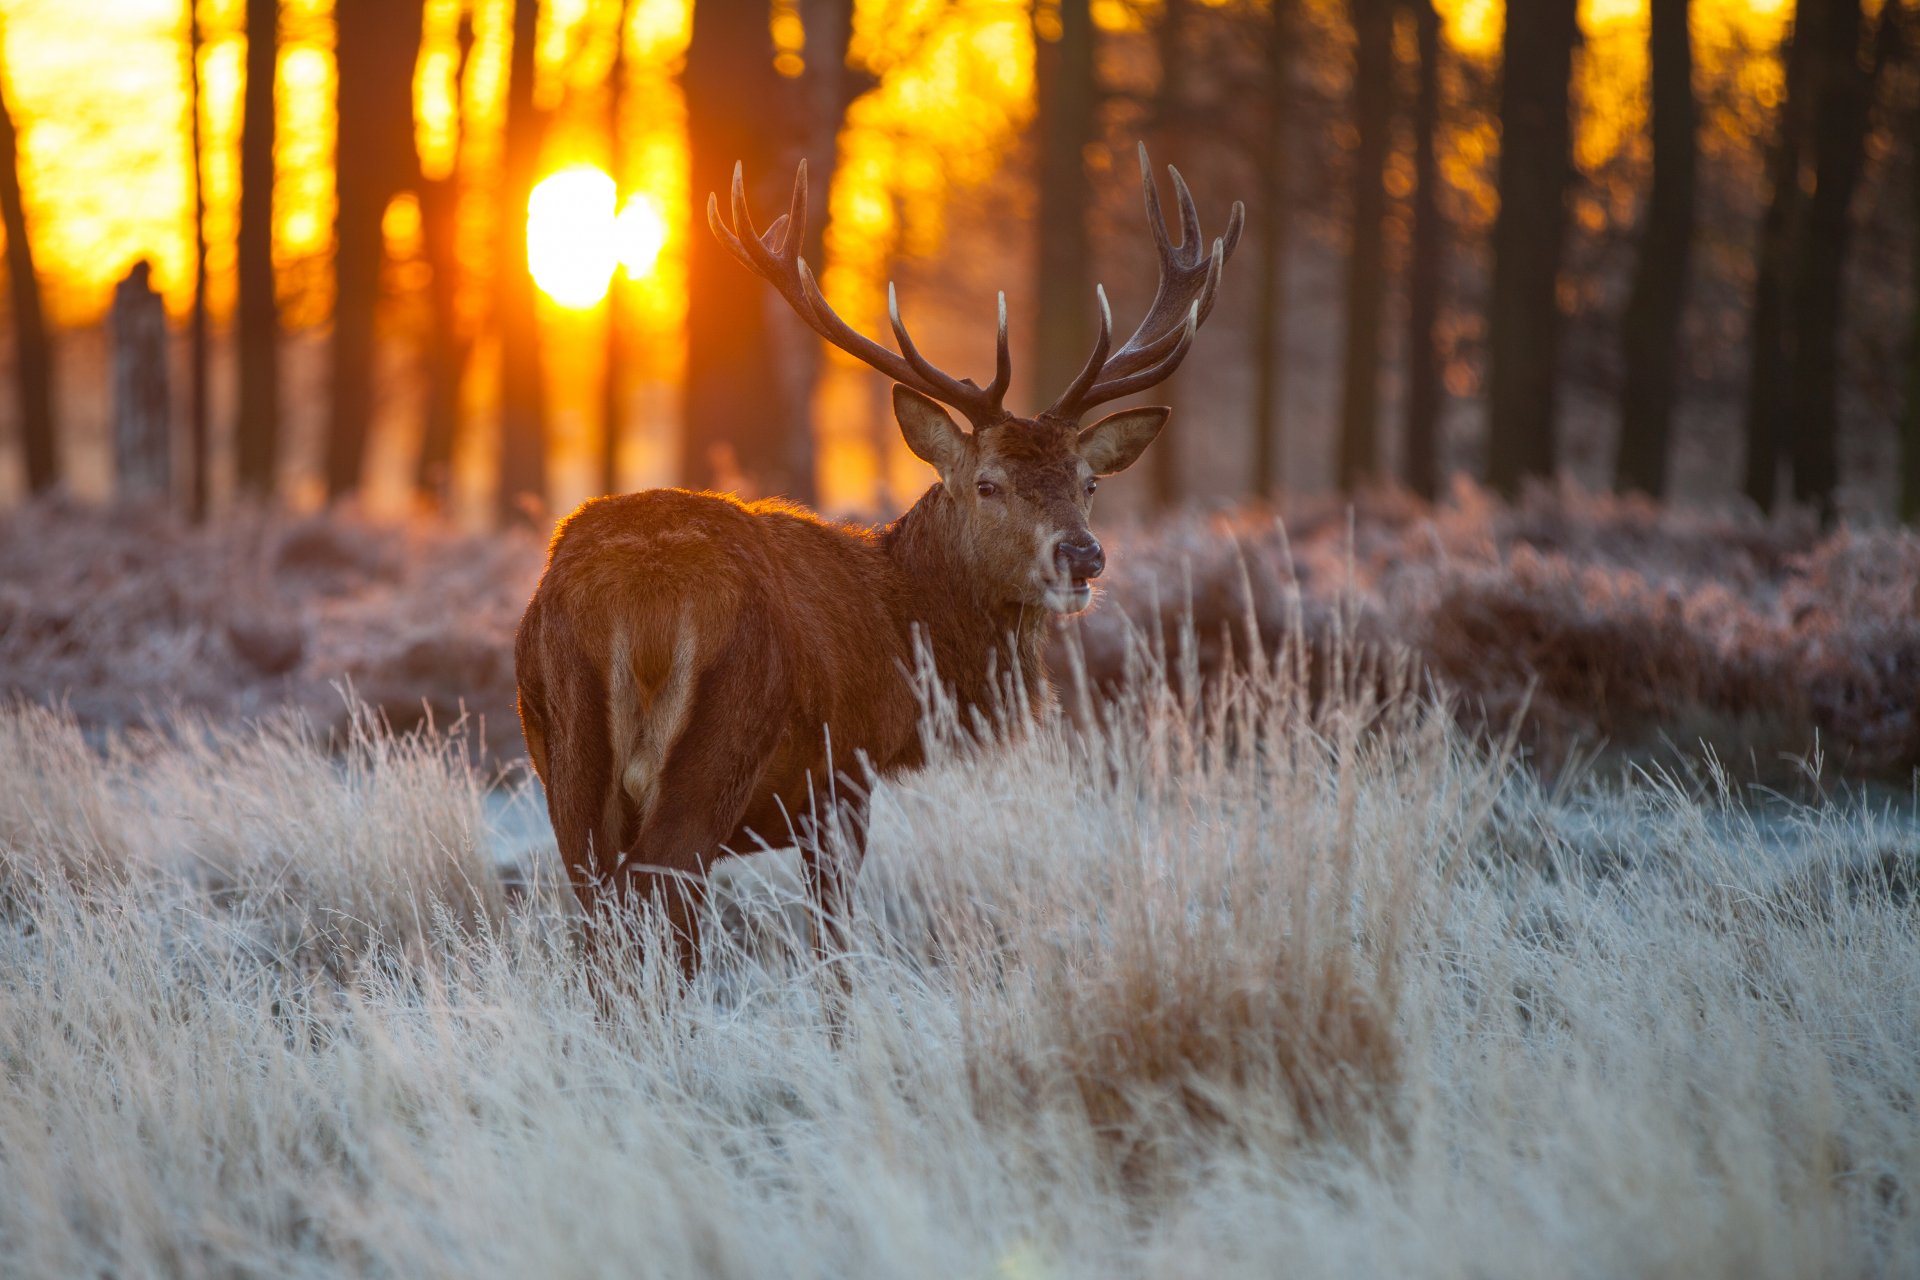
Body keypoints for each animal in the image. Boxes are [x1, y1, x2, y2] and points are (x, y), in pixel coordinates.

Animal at [514, 144, 1242, 977]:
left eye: (1089, 482)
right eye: (987, 483)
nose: (1082, 556)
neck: (905, 633)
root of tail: (639, 599)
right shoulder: (844, 777)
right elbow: (833, 944)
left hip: (564, 754)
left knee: (599, 918)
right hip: (719, 743)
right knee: (660, 901)